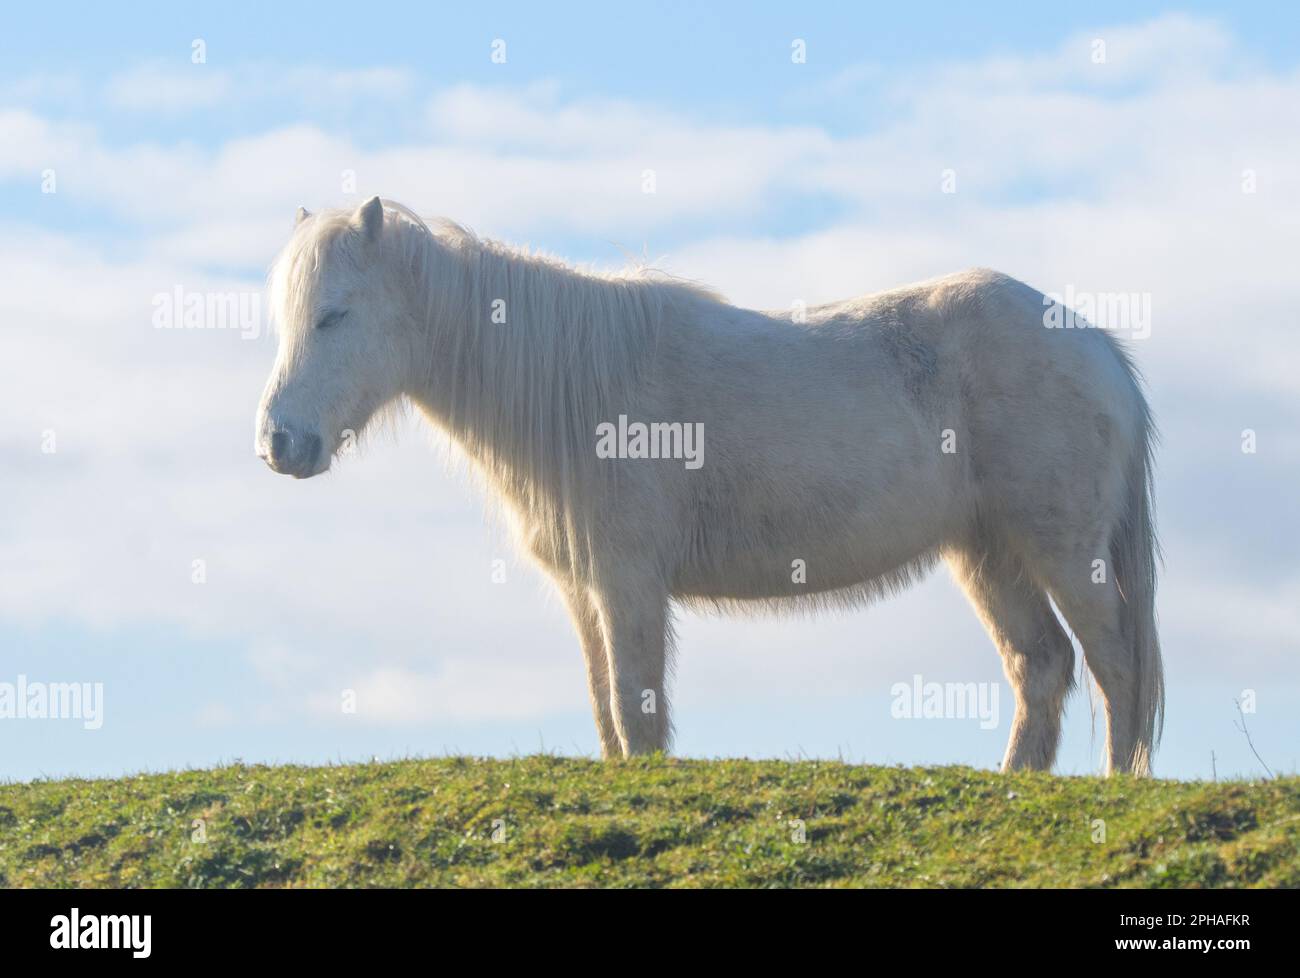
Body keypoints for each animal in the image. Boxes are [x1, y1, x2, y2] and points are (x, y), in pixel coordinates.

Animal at [255, 196, 1163, 775]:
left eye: (335, 314)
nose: (278, 443)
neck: (574, 389)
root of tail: (1098, 347)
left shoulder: (629, 580)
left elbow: (637, 709)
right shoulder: (587, 590)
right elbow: (608, 709)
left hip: (1062, 551)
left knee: (1115, 662)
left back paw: (1119, 785)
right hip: (988, 555)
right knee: (1041, 665)